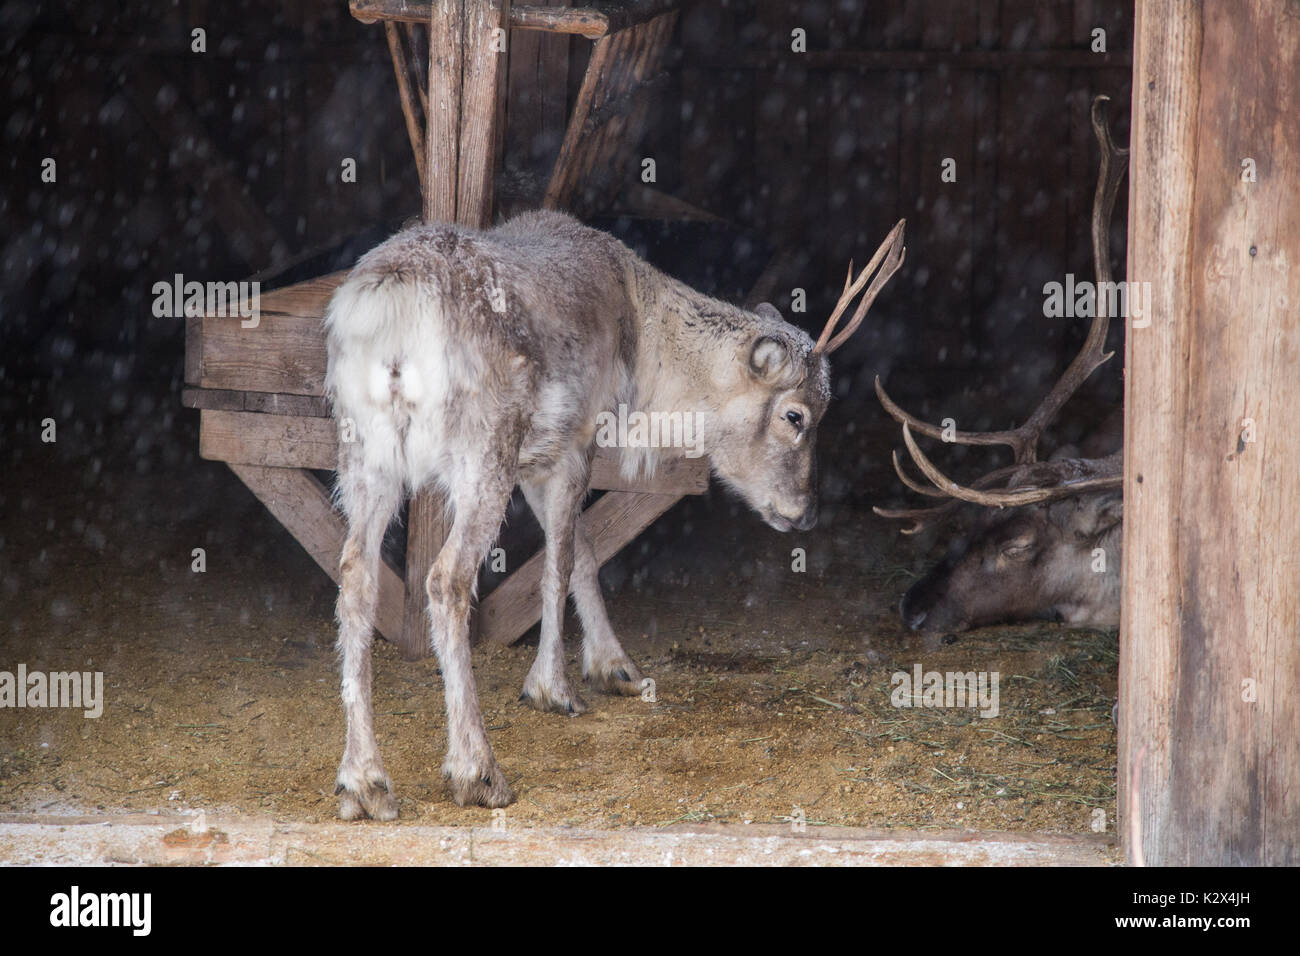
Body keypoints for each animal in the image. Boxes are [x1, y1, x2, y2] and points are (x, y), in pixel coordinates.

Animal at [324, 209, 905, 816]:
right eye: (796, 416)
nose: (806, 513)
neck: (646, 362)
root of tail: (389, 315)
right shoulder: (575, 438)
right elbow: (563, 561)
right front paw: (554, 688)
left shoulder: (537, 459)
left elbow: (580, 552)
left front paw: (613, 666)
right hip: (481, 444)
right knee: (446, 578)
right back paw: (477, 771)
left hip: (361, 446)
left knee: (355, 574)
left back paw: (364, 782)